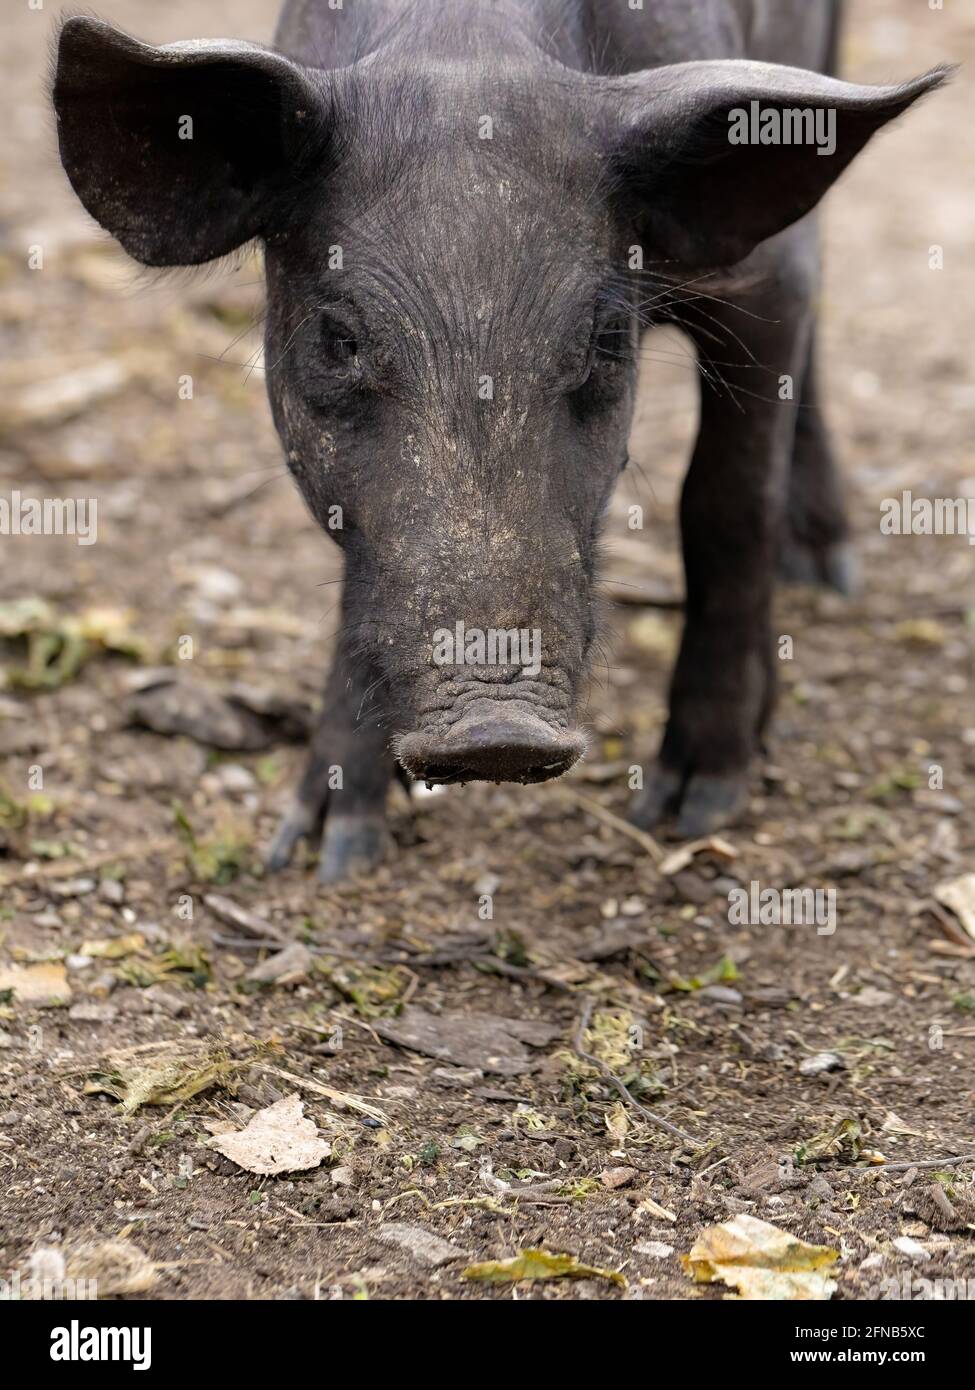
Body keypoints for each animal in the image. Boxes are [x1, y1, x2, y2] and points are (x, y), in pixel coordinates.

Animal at [53, 1, 947, 881]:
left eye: (604, 340)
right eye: (341, 339)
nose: (499, 736)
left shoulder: (766, 283)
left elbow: (724, 501)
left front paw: (693, 806)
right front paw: (319, 854)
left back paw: (825, 575)